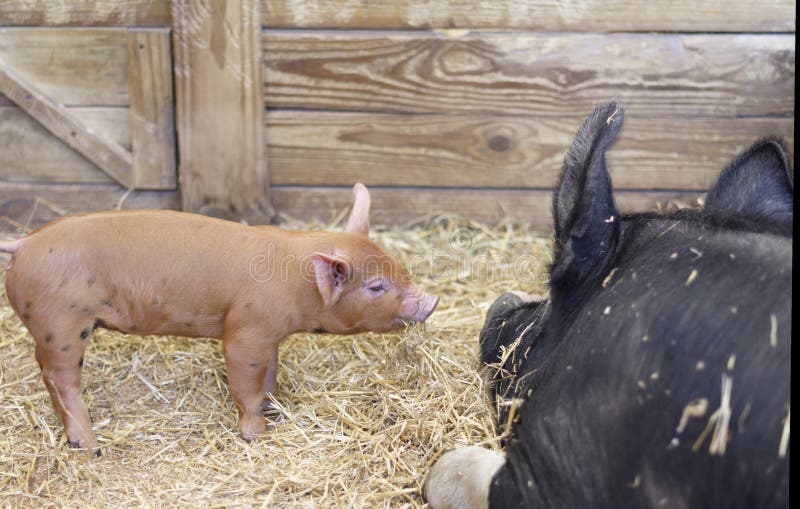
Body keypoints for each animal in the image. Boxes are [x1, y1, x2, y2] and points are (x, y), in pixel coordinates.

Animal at [0, 183, 438, 456]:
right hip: (62, 324)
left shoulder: (270, 335)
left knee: (46, 373)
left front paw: (275, 406)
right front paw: (256, 435)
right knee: (62, 379)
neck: (296, 282)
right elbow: (245, 383)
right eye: (376, 287)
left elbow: (268, 375)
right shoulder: (246, 331)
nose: (431, 301)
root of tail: (22, 243)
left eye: (398, 267)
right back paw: (90, 446)